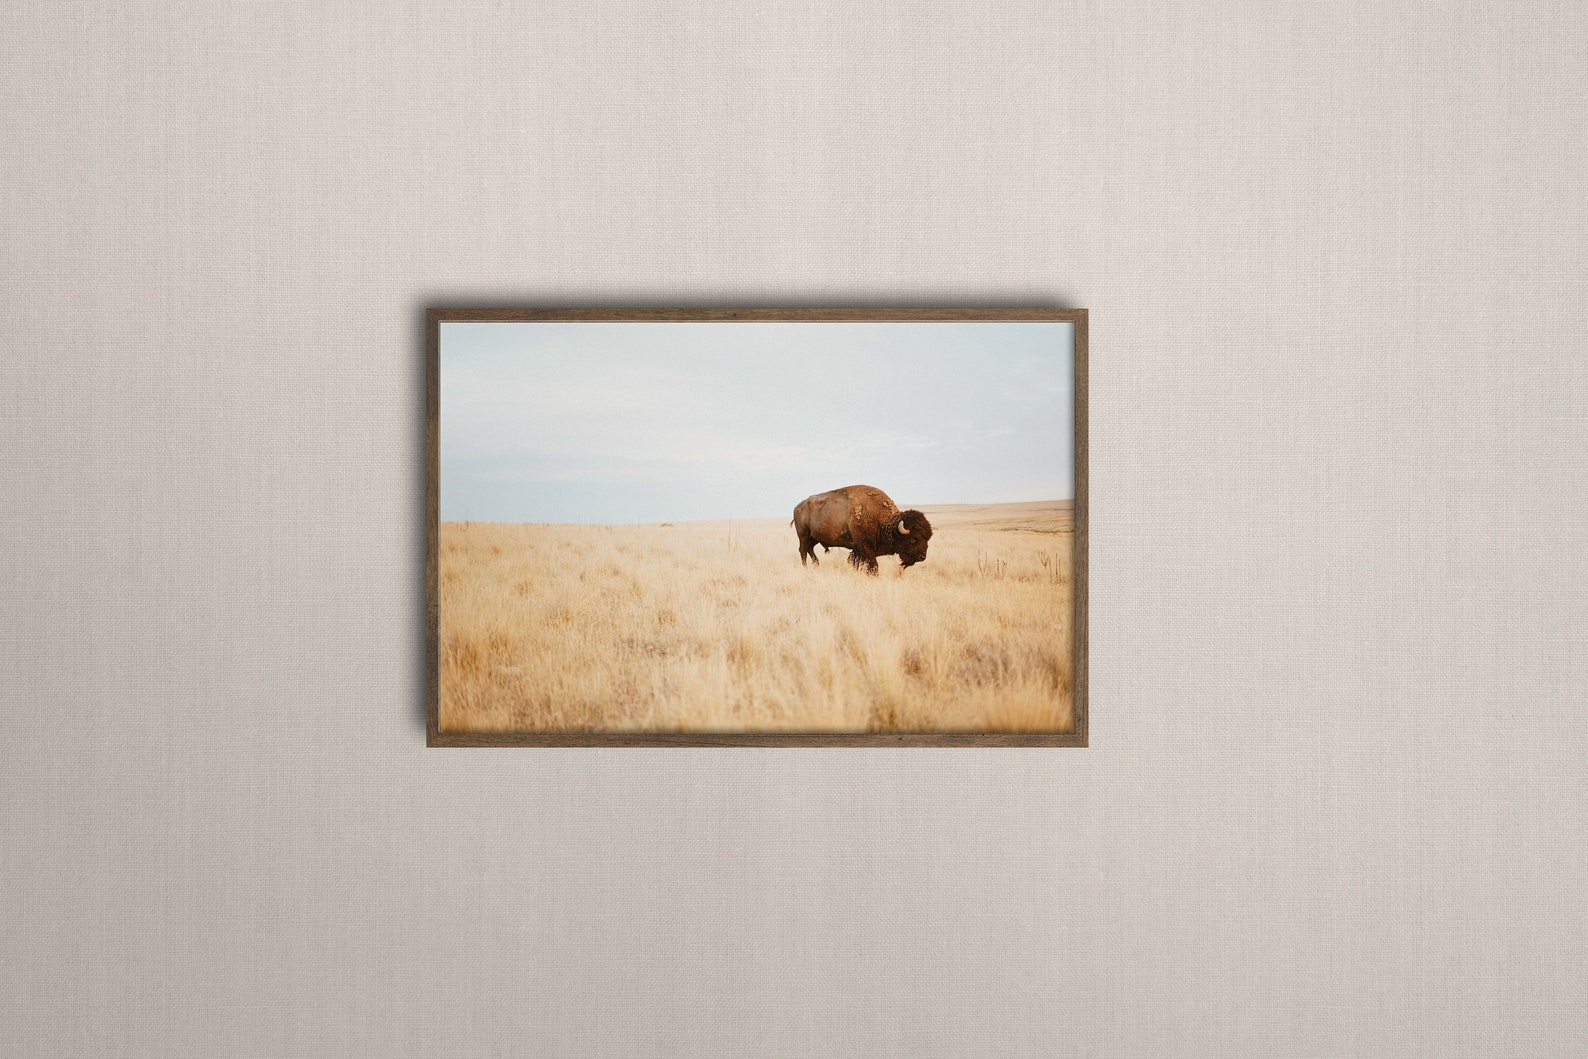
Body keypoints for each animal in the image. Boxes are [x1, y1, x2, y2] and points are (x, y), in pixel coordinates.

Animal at [792, 485, 933, 574]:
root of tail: (798, 507)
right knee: (803, 551)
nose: (922, 557)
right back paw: (806, 568)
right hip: (803, 535)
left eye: (927, 538)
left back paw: (816, 565)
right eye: (914, 539)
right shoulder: (865, 547)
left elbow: (856, 562)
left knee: (810, 549)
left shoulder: (858, 550)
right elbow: (873, 565)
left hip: (814, 538)